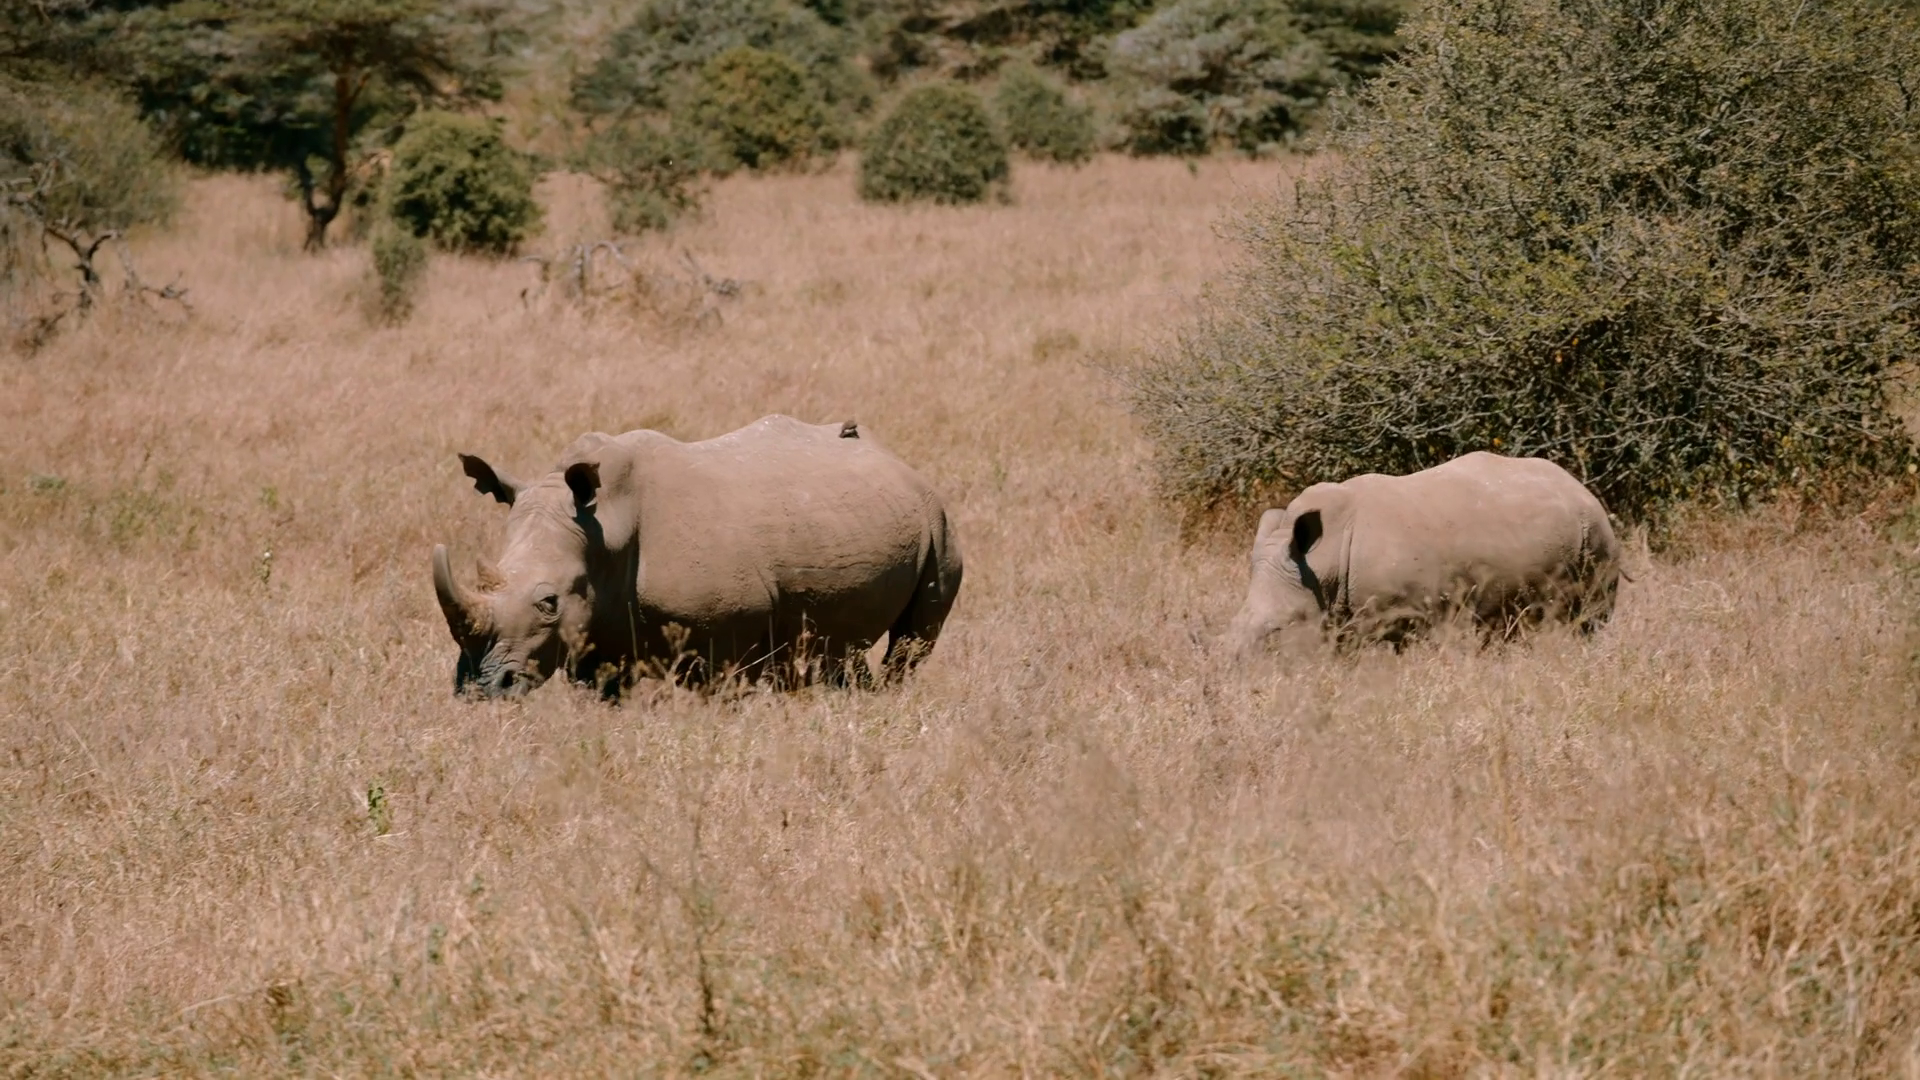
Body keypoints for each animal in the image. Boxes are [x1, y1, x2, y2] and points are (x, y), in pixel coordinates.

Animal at [432, 415, 963, 698]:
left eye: (548, 602)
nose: (479, 688)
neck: (605, 529)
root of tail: (898, 461)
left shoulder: (729, 628)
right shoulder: (596, 635)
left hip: (938, 521)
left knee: (911, 642)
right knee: (836, 647)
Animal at [1225, 452, 1622, 655]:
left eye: (1275, 632)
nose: (1234, 669)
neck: (1324, 564)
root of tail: (1580, 487)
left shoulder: (1426, 610)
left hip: (1597, 535)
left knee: (1586, 617)